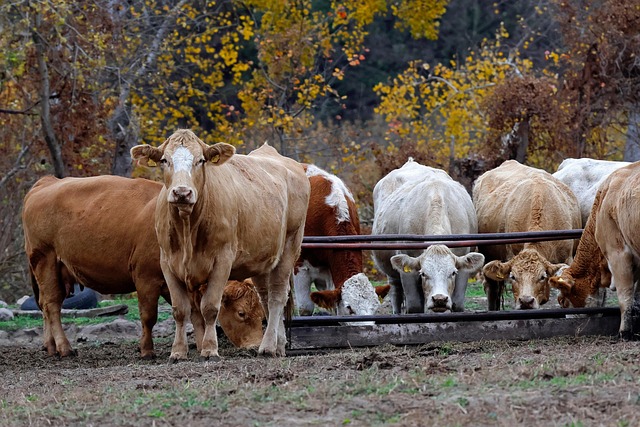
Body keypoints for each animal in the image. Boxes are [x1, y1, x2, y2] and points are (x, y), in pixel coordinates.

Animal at [22, 175, 171, 358]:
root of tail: (48, 181)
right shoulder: (146, 277)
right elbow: (149, 316)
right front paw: (147, 350)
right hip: (45, 260)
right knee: (51, 304)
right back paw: (64, 348)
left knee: (44, 305)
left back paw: (50, 347)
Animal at [130, 129, 310, 360]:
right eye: (164, 160)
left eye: (200, 160)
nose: (182, 192)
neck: (188, 228)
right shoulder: (168, 262)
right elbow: (180, 310)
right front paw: (178, 351)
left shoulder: (222, 261)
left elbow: (209, 307)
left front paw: (209, 349)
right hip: (262, 260)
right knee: (266, 296)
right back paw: (278, 345)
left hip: (290, 246)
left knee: (277, 297)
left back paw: (268, 347)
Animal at [371, 159, 484, 314]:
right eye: (423, 273)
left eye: (452, 273)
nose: (439, 299)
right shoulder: (408, 270)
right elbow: (414, 306)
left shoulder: (462, 267)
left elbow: (457, 304)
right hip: (392, 272)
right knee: (396, 293)